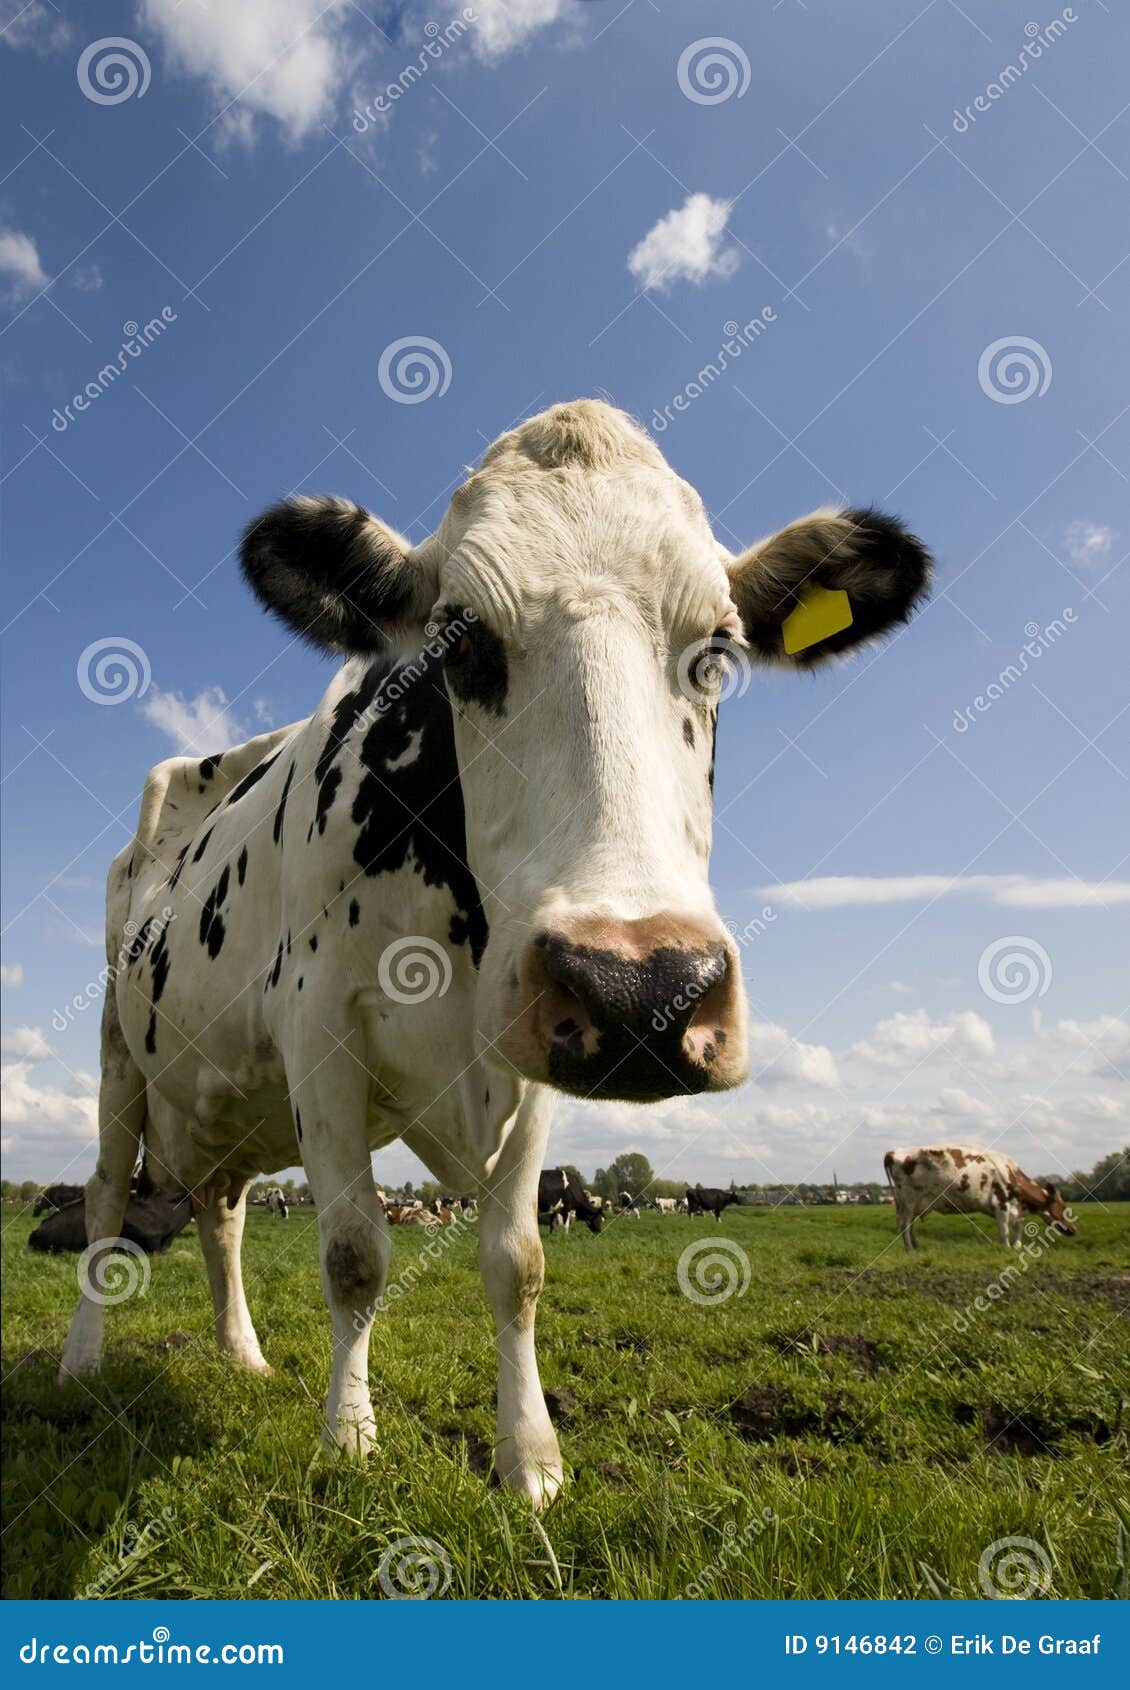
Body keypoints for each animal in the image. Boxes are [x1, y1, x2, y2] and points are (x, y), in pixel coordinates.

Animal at [55, 399, 931, 1509]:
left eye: (717, 652)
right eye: (459, 642)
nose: (644, 987)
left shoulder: (540, 1050)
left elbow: (515, 1261)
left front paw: (532, 1458)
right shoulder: (318, 1026)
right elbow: (353, 1252)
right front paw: (349, 1440)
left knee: (223, 1213)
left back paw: (242, 1355)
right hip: (116, 1058)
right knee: (104, 1201)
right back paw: (82, 1358)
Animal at [884, 1146, 1076, 1251]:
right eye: (1063, 1208)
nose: (1073, 1230)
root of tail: (893, 1151)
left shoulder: (1015, 1210)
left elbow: (1018, 1228)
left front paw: (1017, 1246)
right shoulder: (1001, 1204)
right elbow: (1004, 1231)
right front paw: (1007, 1248)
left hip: (911, 1203)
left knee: (910, 1225)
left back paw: (915, 1246)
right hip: (908, 1200)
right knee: (905, 1226)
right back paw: (910, 1249)